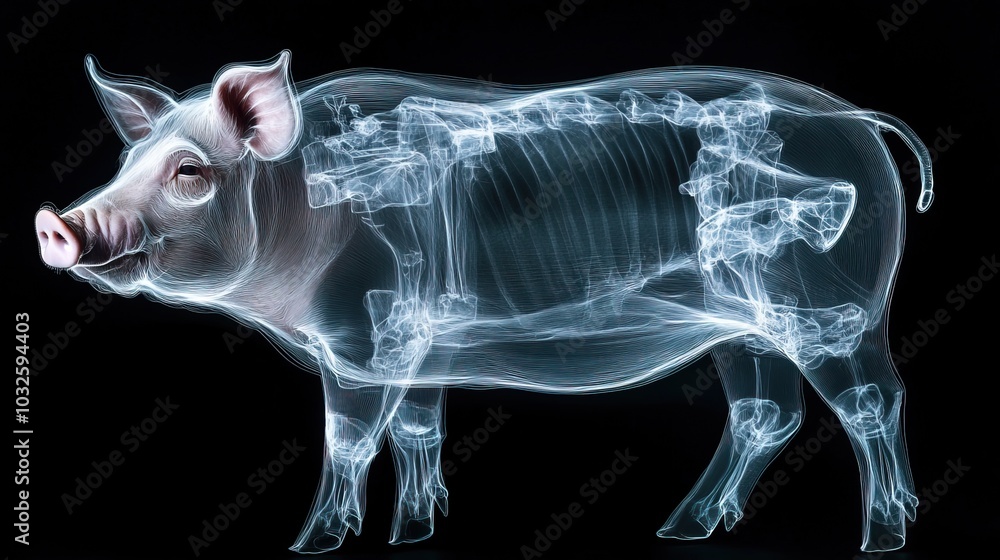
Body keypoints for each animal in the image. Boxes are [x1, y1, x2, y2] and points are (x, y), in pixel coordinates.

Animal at [35, 50, 935, 553]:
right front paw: (414, 534)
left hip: (828, 304)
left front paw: (311, 546)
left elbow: (349, 441)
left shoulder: (365, 338)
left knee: (872, 399)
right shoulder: (419, 349)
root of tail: (859, 120)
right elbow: (418, 433)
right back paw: (681, 529)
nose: (57, 223)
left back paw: (883, 539)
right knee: (765, 414)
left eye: (189, 171)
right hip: (741, 326)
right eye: (126, 162)